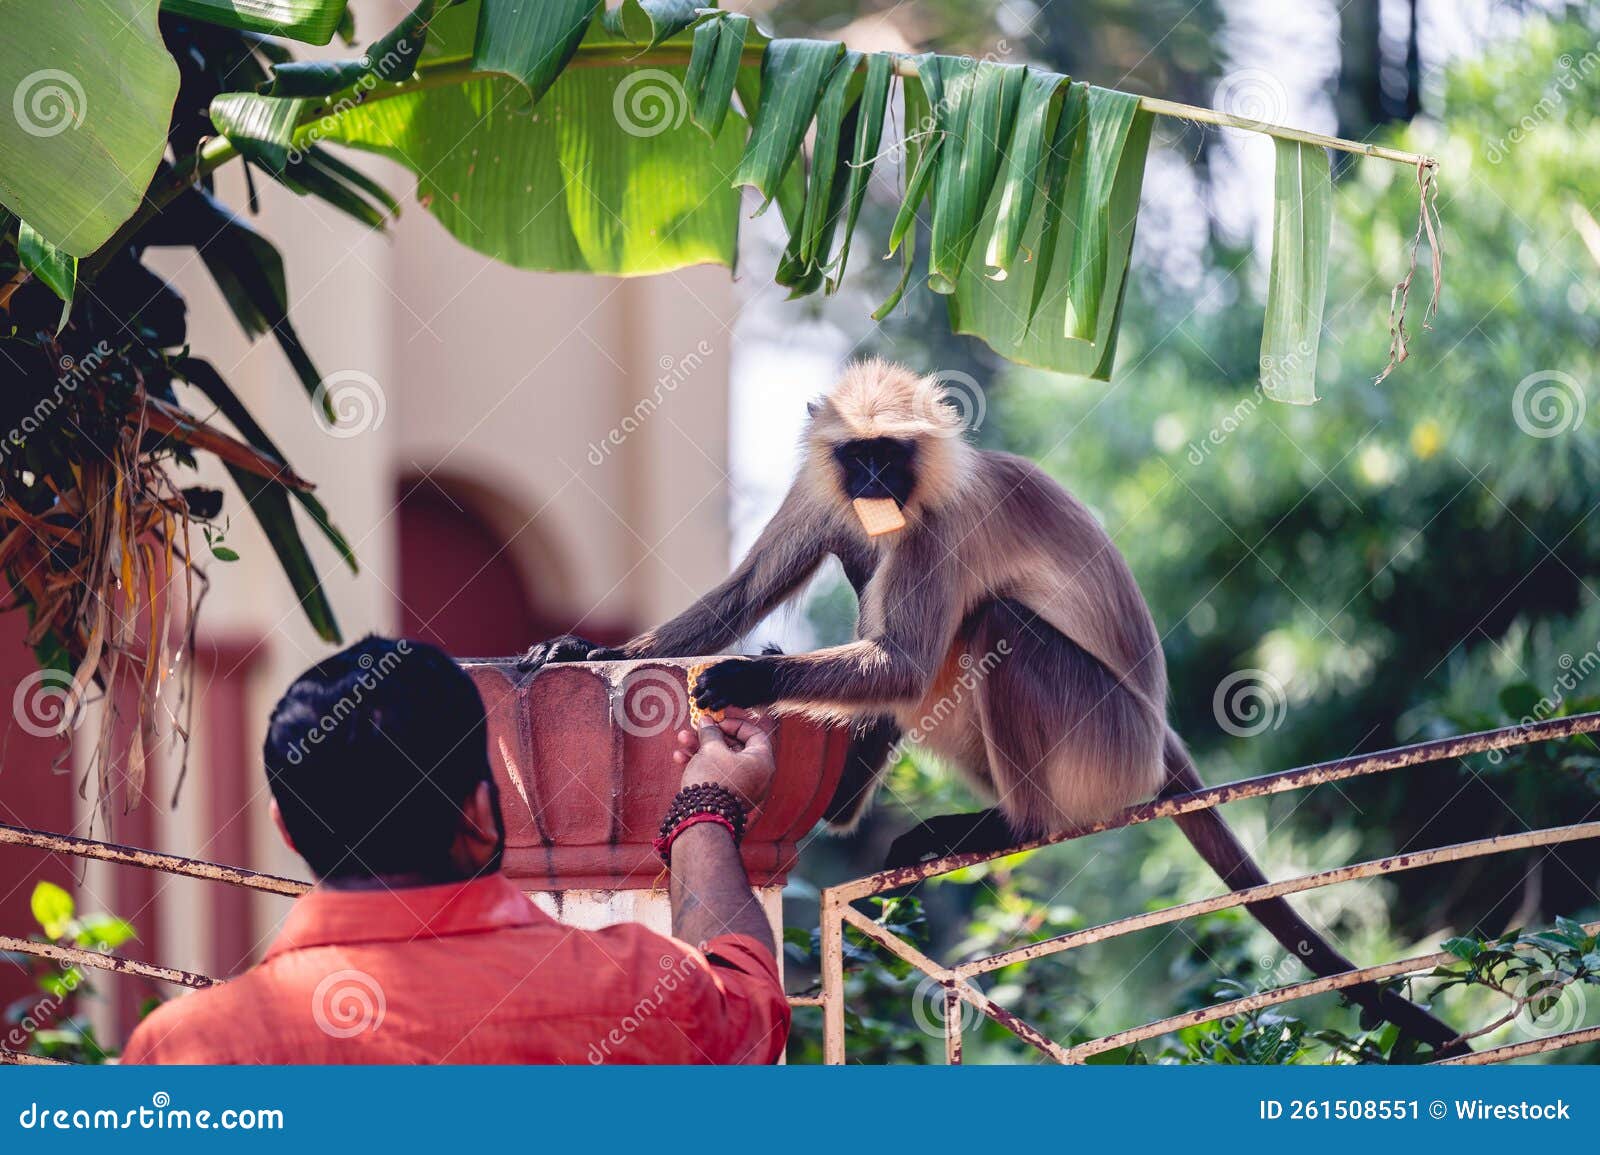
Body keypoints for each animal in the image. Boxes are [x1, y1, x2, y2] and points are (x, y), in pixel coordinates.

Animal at [523, 358, 1464, 1055]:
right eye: (857, 455)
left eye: (892, 455)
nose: (873, 482)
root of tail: (1159, 734)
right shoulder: (821, 492)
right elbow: (742, 593)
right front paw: (588, 654)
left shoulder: (934, 524)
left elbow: (904, 664)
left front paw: (748, 682)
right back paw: (846, 805)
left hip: (1101, 736)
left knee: (988, 622)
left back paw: (1009, 823)